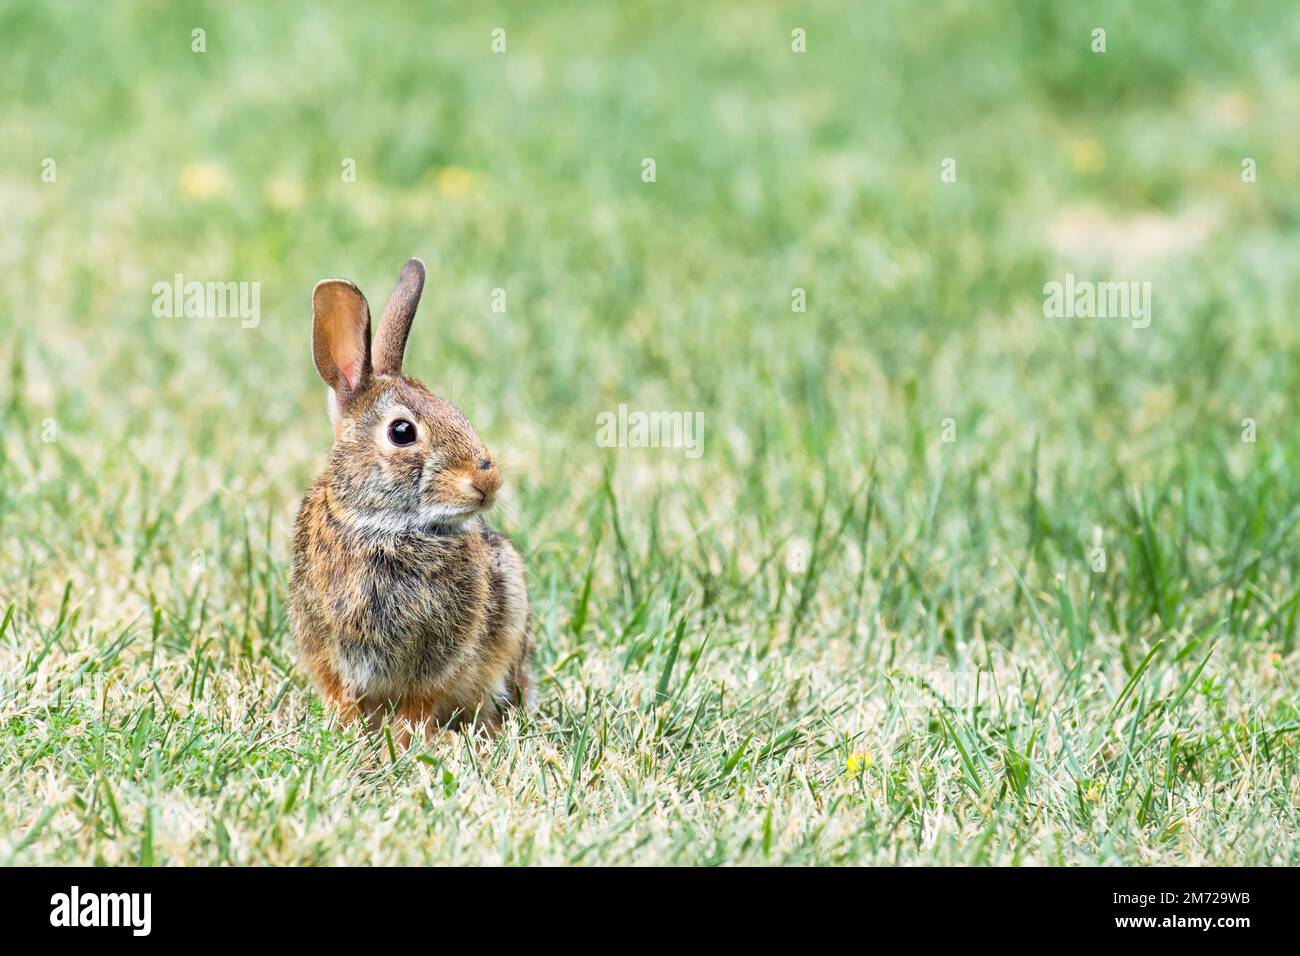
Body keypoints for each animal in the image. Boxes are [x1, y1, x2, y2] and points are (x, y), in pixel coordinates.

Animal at [289, 257, 532, 740]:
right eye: (402, 432)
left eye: (459, 414)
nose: (489, 482)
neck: (384, 527)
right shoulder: (324, 640)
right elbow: (340, 692)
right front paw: (347, 730)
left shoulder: (441, 657)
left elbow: (419, 702)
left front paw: (405, 740)